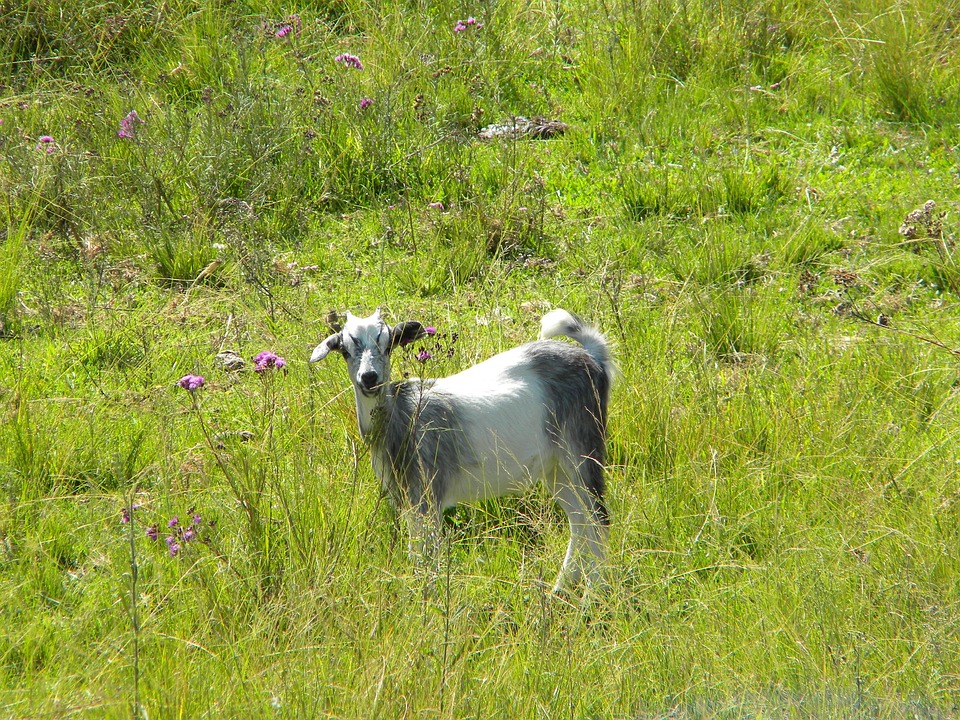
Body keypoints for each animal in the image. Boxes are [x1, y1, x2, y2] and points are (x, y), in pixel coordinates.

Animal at [310, 308, 614, 592]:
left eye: (387, 345)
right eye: (345, 351)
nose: (369, 377)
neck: (402, 416)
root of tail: (592, 356)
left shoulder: (427, 496)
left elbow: (426, 555)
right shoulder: (409, 499)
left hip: (581, 448)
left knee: (597, 518)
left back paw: (593, 595)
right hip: (556, 468)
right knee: (579, 520)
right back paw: (561, 589)